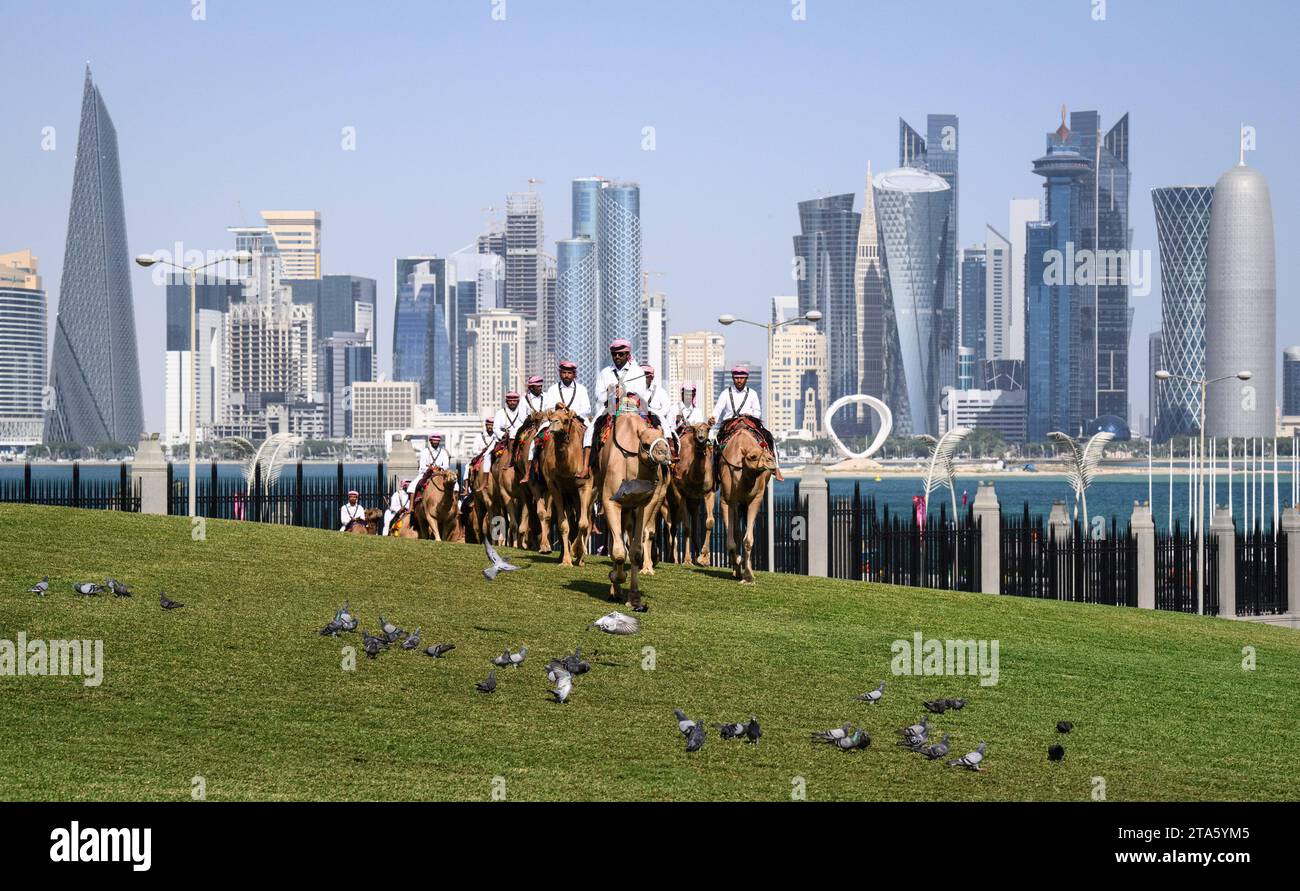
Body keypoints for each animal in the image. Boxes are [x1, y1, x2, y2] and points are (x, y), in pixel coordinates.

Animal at [538, 407, 595, 566]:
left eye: (566, 420)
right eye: (550, 418)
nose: (553, 424)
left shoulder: (585, 485)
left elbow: (583, 523)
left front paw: (577, 551)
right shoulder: (554, 487)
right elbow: (563, 525)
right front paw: (566, 561)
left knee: (586, 520)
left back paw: (581, 558)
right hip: (568, 497)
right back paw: (563, 555)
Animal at [594, 409, 673, 609]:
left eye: (665, 439)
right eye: (645, 444)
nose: (664, 453)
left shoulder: (645, 503)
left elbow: (636, 552)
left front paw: (635, 597)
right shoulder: (611, 501)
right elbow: (618, 552)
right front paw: (616, 578)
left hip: (631, 510)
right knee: (615, 543)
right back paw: (614, 590)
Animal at [665, 422, 716, 565]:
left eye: (708, 428)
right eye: (694, 429)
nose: (701, 438)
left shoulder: (709, 492)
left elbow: (709, 522)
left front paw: (703, 558)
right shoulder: (680, 493)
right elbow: (687, 527)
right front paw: (687, 560)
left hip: (693, 502)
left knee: (693, 528)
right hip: (670, 500)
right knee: (672, 528)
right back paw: (671, 559)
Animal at [716, 418, 777, 583]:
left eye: (766, 452)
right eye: (753, 457)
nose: (772, 461)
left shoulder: (755, 499)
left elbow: (748, 540)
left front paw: (748, 575)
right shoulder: (726, 500)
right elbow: (731, 541)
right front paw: (738, 566)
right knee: (736, 531)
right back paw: (737, 567)